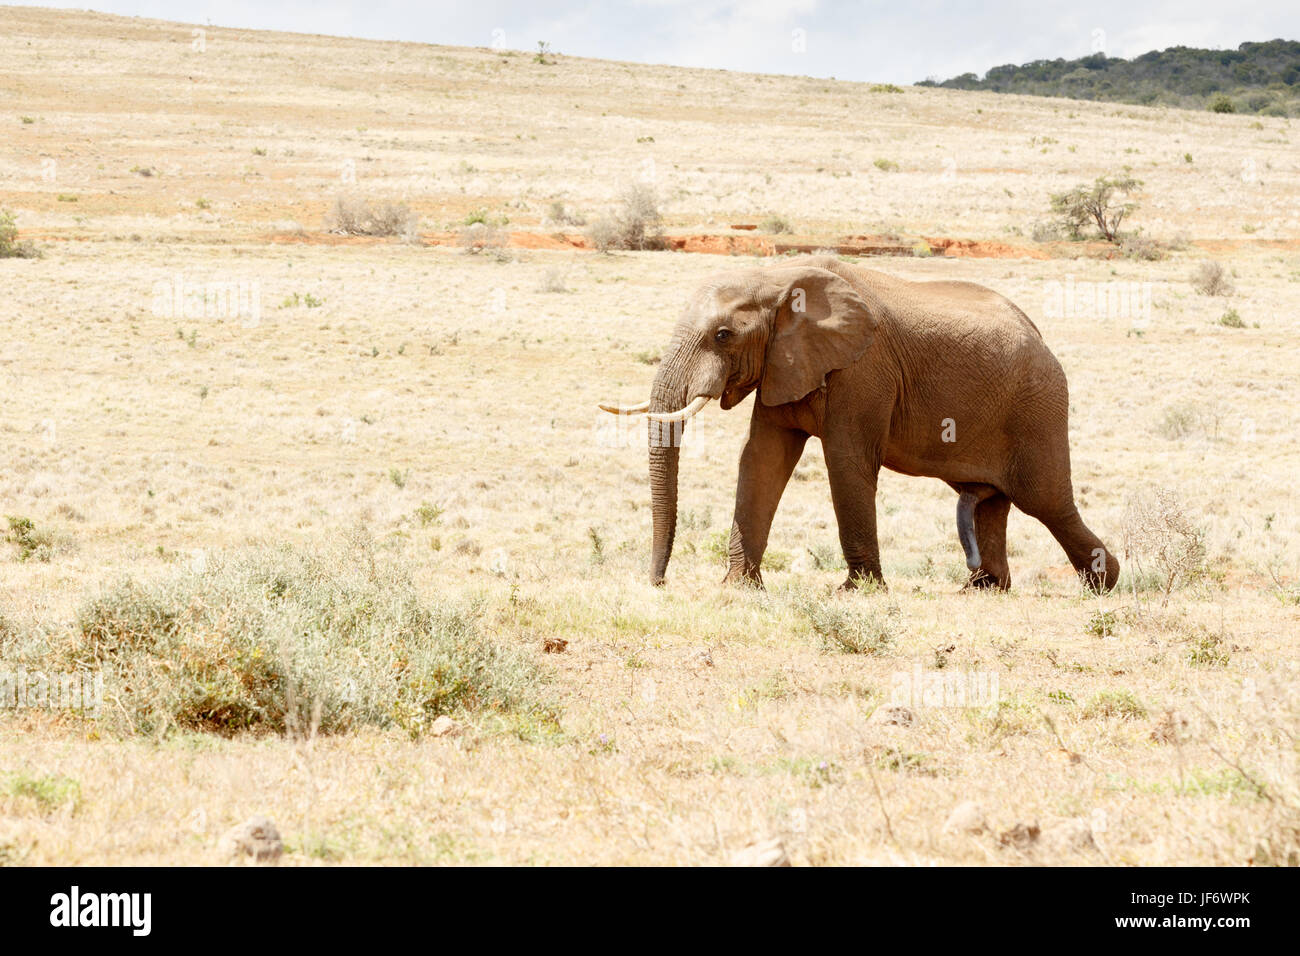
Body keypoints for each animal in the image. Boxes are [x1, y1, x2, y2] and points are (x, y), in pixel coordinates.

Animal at [599, 255, 1119, 593]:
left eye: (723, 335)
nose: (658, 583)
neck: (777, 278)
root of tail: (1041, 337)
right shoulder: (784, 365)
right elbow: (762, 459)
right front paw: (738, 588)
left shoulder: (863, 370)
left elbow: (846, 461)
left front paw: (858, 590)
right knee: (992, 502)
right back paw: (985, 588)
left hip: (1039, 405)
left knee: (1047, 502)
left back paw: (1104, 581)